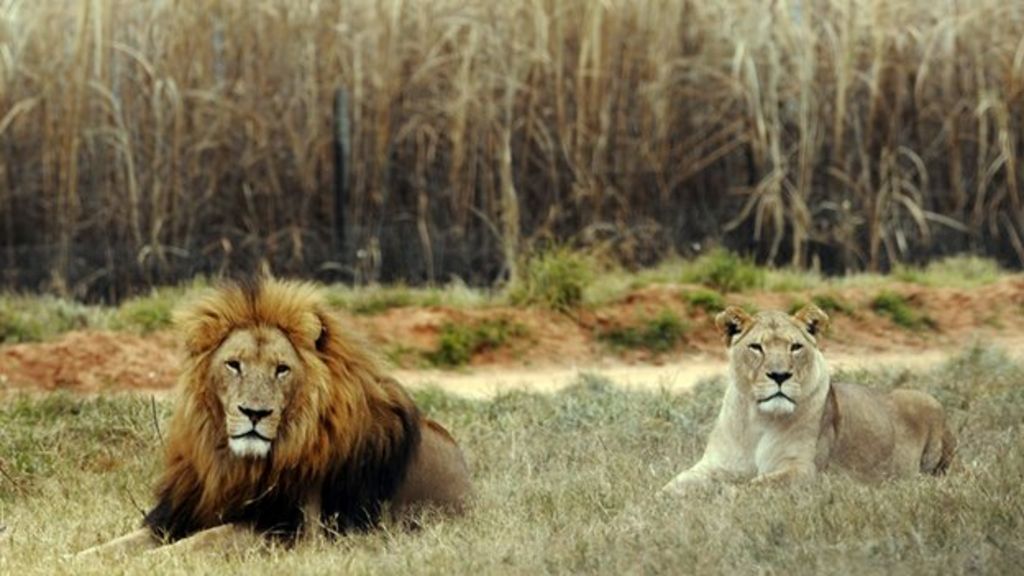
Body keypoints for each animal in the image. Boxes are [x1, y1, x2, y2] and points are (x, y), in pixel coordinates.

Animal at [78, 279, 471, 556]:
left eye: (282, 370)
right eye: (234, 365)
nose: (255, 413)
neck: (236, 464)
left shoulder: (291, 529)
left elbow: (201, 542)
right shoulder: (177, 514)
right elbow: (112, 546)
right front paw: (77, 558)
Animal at [661, 304, 955, 494]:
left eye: (795, 347)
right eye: (756, 347)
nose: (780, 375)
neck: (759, 420)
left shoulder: (804, 470)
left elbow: (756, 486)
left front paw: (727, 494)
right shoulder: (712, 464)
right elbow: (675, 484)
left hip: (926, 409)